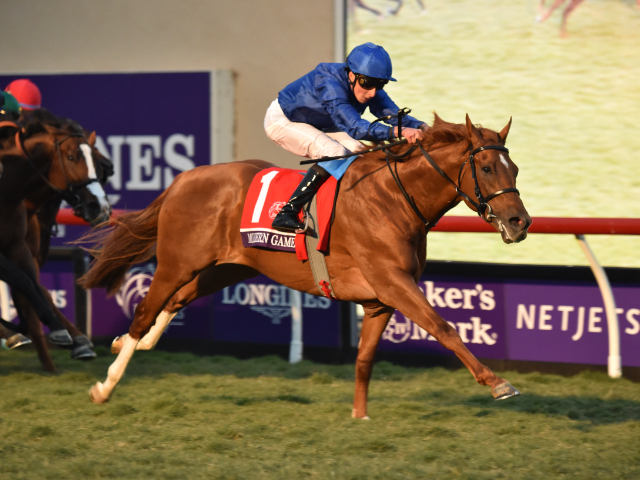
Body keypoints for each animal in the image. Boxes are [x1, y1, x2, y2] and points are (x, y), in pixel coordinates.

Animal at [0, 113, 111, 371]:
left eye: (94, 159)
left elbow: (34, 285)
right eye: (70, 157)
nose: (99, 207)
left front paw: (71, 337)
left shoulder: (19, 247)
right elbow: (24, 281)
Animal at [81, 114, 531, 418]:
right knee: (145, 309)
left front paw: (359, 416)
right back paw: (106, 384)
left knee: (176, 302)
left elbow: (364, 358)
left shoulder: (380, 299)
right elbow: (444, 327)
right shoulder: (392, 281)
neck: (394, 197)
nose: (519, 222)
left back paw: (125, 343)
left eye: (515, 168)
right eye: (486, 167)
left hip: (229, 267)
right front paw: (498, 383)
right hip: (177, 262)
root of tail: (182, 180)